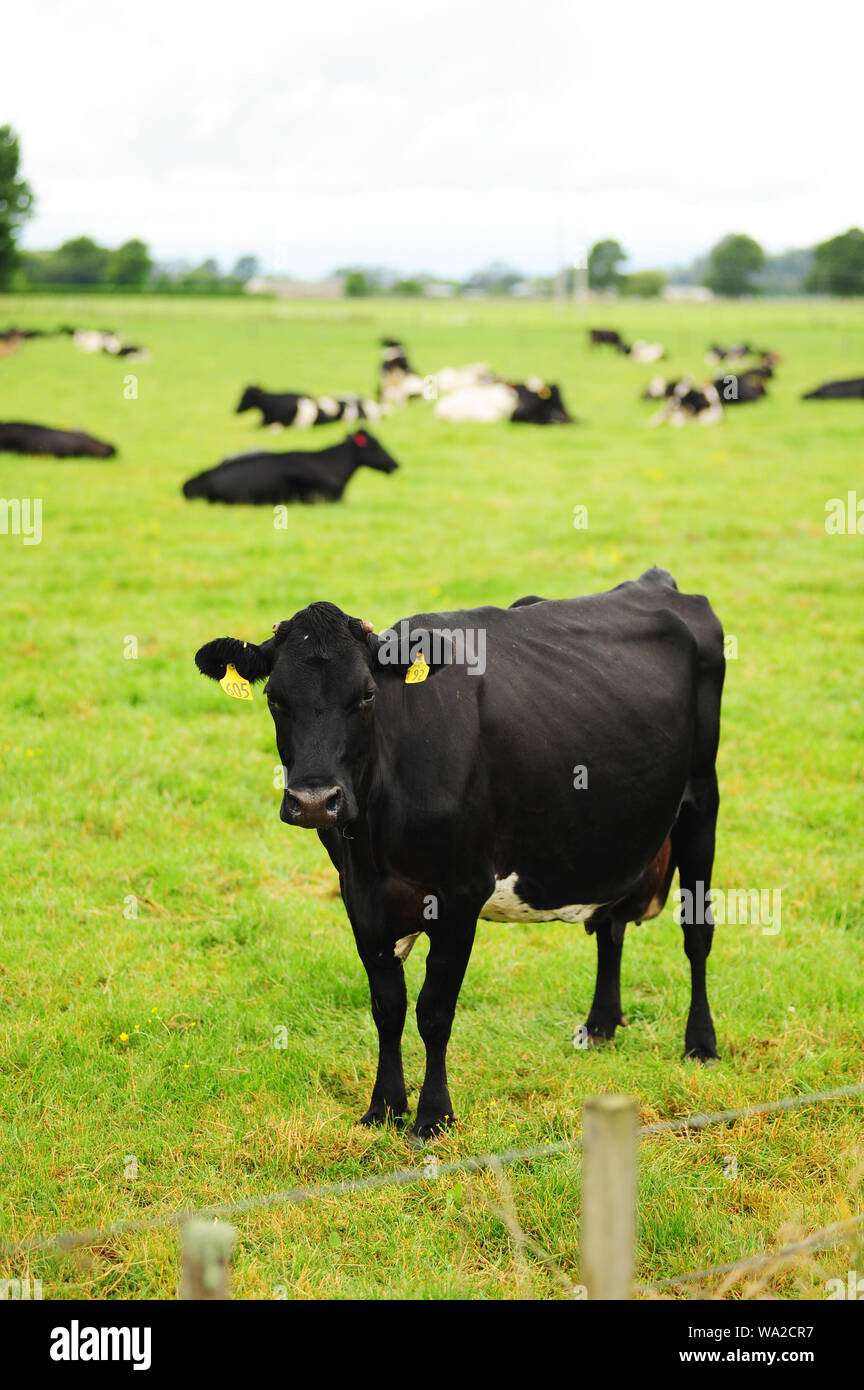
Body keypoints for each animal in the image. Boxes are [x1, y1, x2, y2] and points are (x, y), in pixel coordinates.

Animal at [194, 568, 725, 1142]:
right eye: (275, 699)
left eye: (365, 696)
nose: (314, 801)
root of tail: (655, 582)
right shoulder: (360, 894)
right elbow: (387, 1006)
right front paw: (383, 1108)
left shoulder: (460, 893)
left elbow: (434, 1010)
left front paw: (433, 1115)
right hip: (610, 837)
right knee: (609, 924)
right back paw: (600, 1025)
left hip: (702, 800)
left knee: (697, 933)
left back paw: (701, 1043)